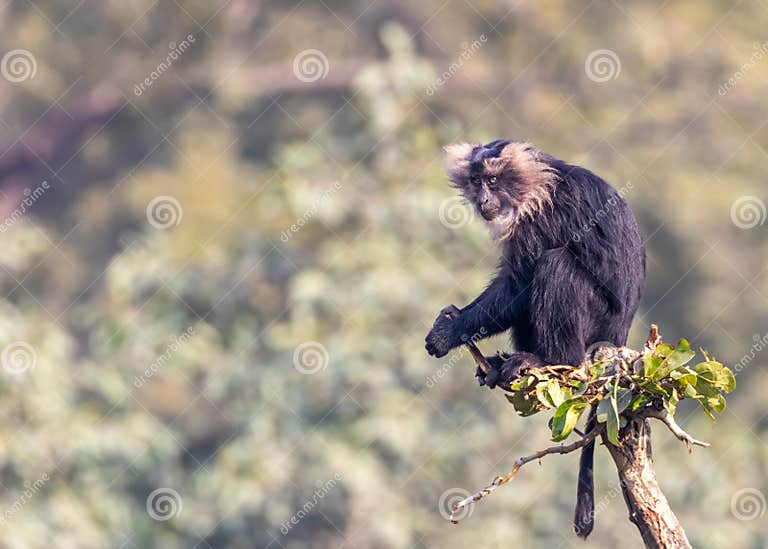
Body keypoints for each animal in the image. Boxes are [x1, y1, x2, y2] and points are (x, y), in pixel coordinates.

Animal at [424, 140, 645, 538]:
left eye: (494, 180)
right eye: (477, 181)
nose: (483, 200)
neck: (537, 182)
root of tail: (618, 337)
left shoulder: (540, 217)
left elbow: (518, 285)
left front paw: (449, 332)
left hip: (597, 323)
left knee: (555, 265)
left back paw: (553, 362)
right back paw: (508, 364)